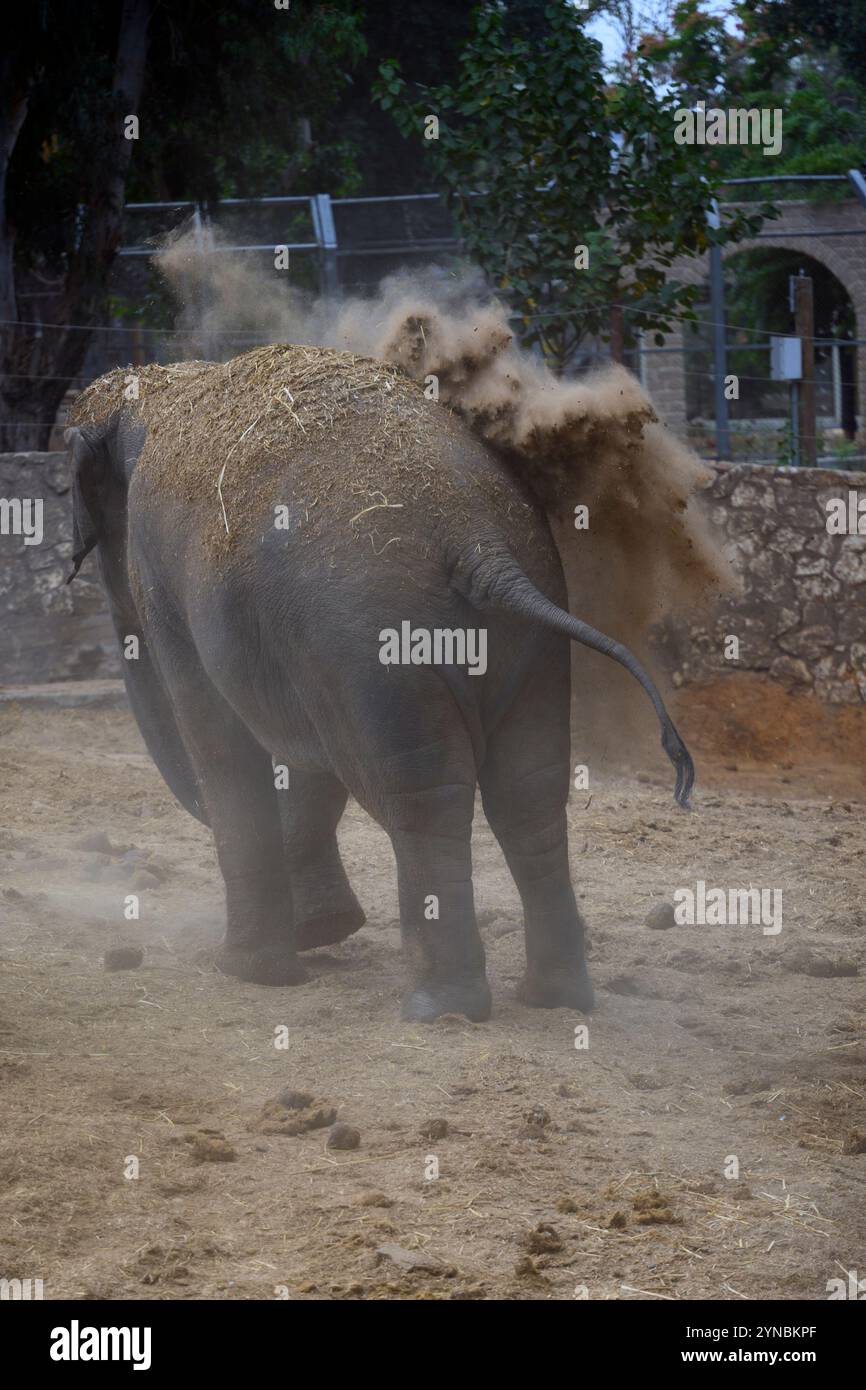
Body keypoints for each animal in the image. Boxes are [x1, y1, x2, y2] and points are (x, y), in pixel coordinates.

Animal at [66, 347, 693, 1023]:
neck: (161, 384)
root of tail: (477, 542)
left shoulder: (169, 589)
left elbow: (220, 738)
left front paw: (249, 973)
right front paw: (320, 934)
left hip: (374, 638)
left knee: (422, 796)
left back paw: (440, 1008)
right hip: (532, 637)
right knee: (529, 791)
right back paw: (554, 999)